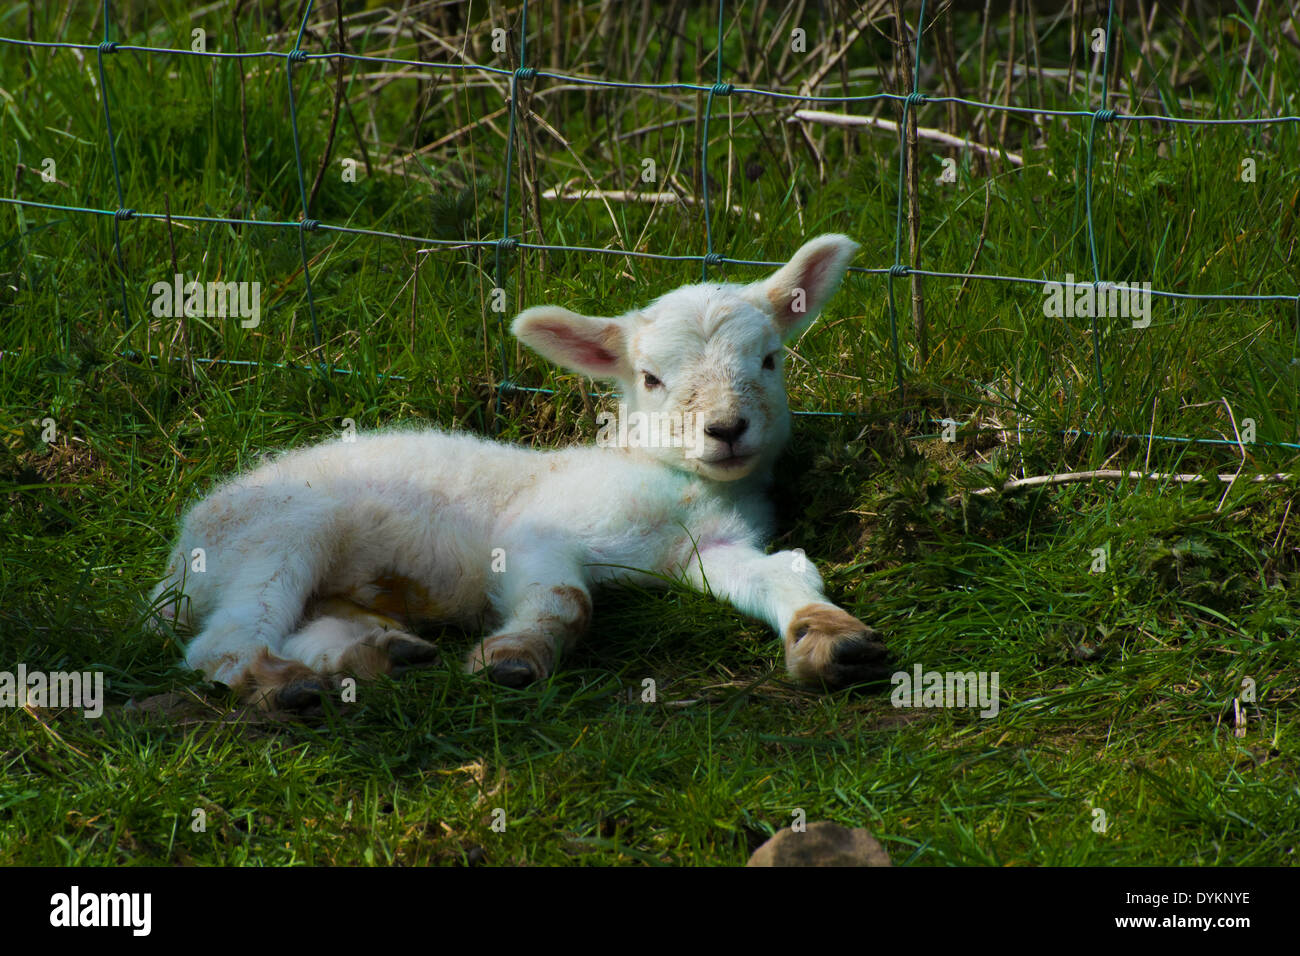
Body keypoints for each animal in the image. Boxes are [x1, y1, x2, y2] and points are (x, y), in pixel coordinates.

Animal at [149, 233, 890, 708]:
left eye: (769, 360)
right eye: (651, 379)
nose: (727, 430)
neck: (669, 480)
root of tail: (180, 554)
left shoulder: (710, 547)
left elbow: (785, 573)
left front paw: (834, 641)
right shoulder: (540, 528)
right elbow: (567, 601)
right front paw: (512, 661)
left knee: (308, 625)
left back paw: (378, 656)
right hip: (276, 534)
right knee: (221, 639)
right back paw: (274, 682)